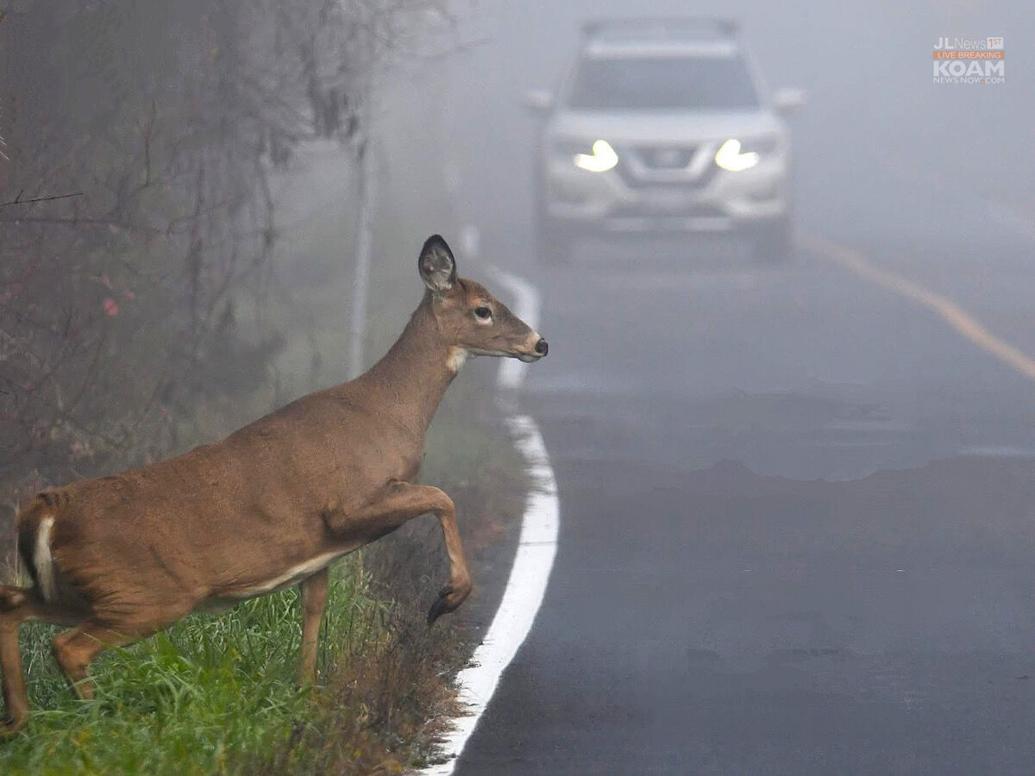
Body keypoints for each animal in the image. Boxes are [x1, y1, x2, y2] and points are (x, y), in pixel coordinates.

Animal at [0, 234, 548, 734]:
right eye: (483, 310)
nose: (539, 343)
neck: (391, 412)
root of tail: (47, 509)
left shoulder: (320, 552)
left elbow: (314, 612)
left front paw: (305, 700)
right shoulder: (346, 504)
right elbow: (442, 496)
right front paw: (447, 597)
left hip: (84, 590)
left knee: (14, 606)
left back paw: (23, 723)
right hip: (146, 592)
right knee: (68, 646)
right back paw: (97, 724)